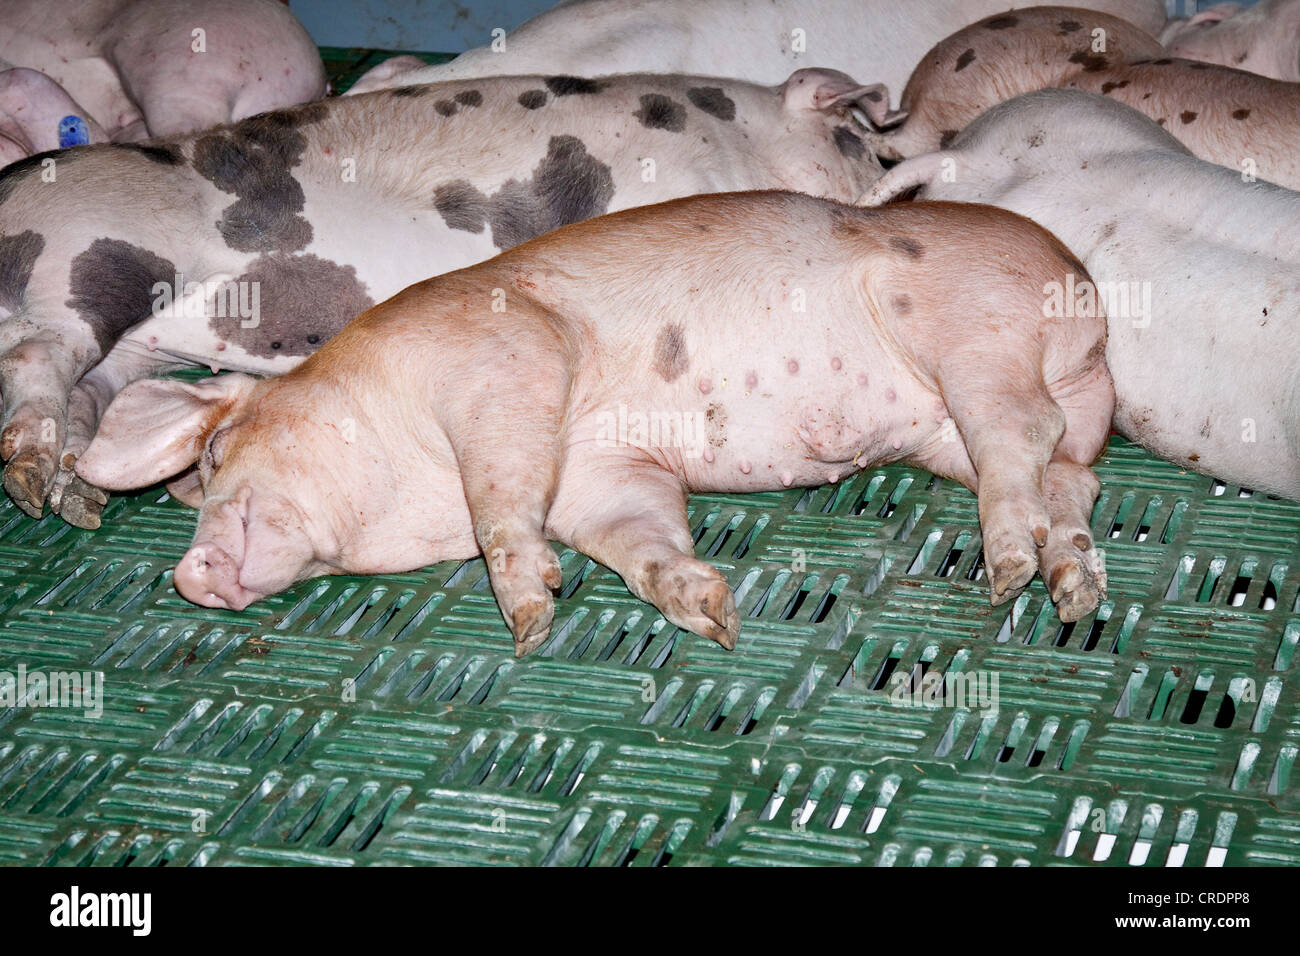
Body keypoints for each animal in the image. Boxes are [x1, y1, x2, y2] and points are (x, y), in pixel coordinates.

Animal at [0, 69, 891, 529]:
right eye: (858, 138)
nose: (892, 186)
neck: (741, 137)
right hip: (89, 259)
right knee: (37, 356)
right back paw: (31, 479)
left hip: (136, 340)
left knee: (86, 395)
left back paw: (74, 500)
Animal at [76, 192, 1116, 655]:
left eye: (217, 451)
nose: (190, 573)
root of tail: (1089, 300)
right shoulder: (600, 475)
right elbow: (639, 535)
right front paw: (713, 617)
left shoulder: (505, 360)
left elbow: (499, 495)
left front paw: (529, 616)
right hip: (950, 428)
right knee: (1074, 473)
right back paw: (1071, 591)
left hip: (973, 335)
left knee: (1023, 434)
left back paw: (1006, 575)